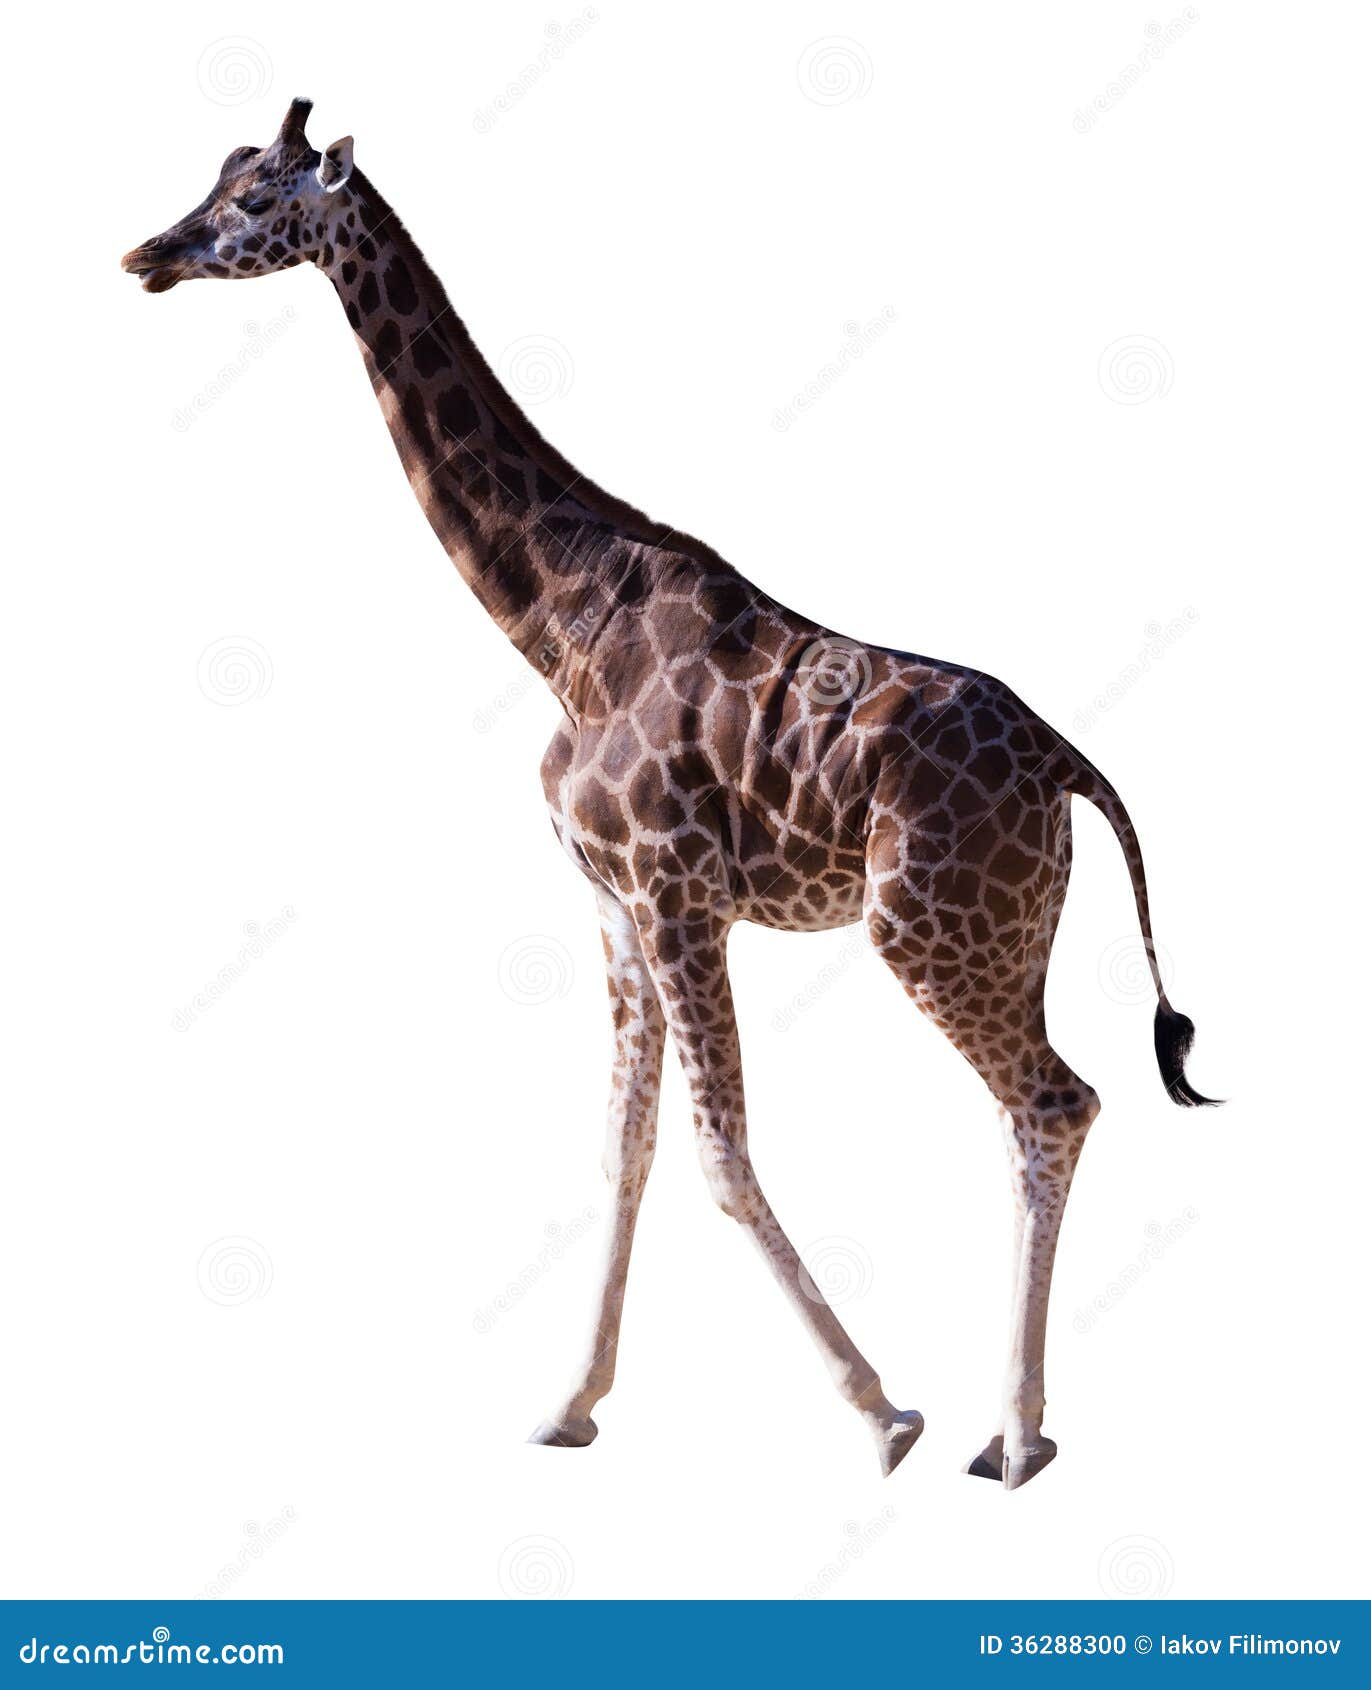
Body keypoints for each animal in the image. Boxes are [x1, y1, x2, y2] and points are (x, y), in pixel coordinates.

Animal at [123, 99, 1217, 1488]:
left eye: (258, 200)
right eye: (215, 178)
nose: (145, 255)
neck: (559, 625)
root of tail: (1076, 766)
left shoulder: (677, 889)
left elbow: (718, 1152)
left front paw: (882, 1415)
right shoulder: (613, 904)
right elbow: (622, 1152)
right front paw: (568, 1404)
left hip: (926, 928)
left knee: (1056, 1102)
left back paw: (1013, 1439)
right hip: (1008, 933)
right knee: (1040, 1109)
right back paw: (1015, 1428)